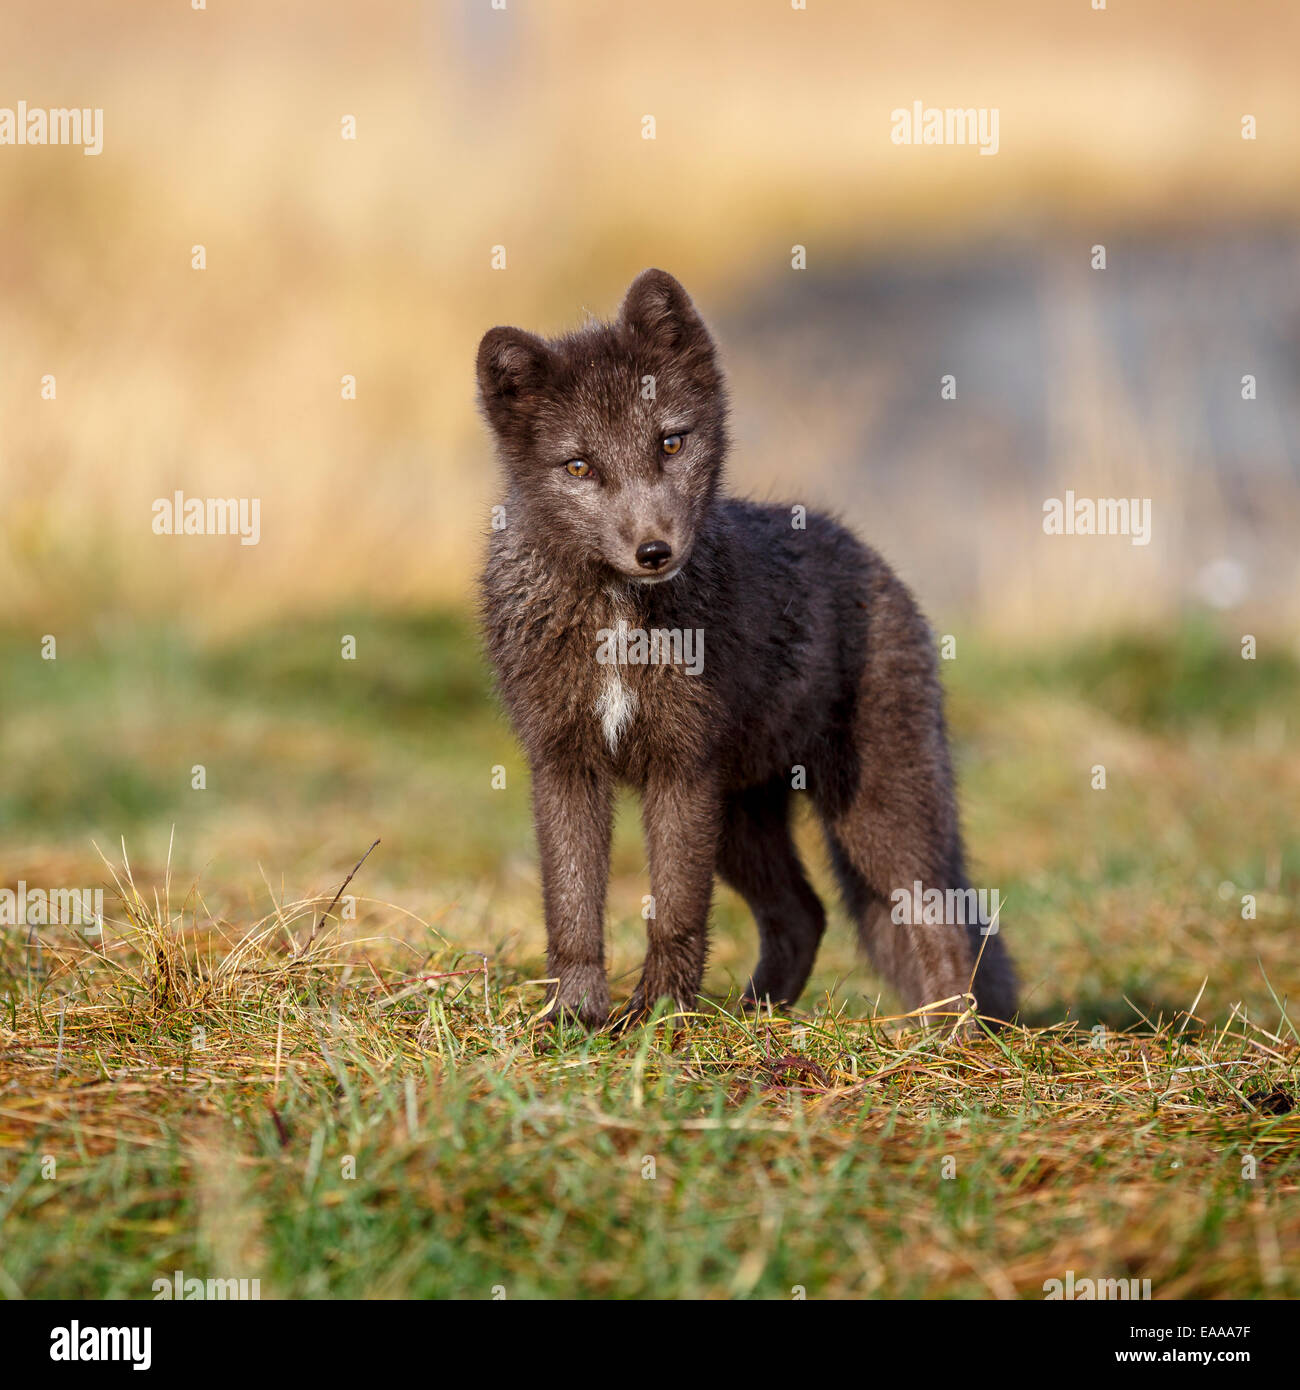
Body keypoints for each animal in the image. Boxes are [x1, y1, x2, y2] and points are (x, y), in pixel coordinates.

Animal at [477, 268, 1017, 1029]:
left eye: (671, 443)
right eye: (579, 467)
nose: (654, 551)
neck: (619, 622)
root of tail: (870, 555)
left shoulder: (683, 769)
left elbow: (675, 914)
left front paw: (661, 1018)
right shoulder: (563, 762)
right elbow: (572, 909)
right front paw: (575, 1019)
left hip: (871, 811)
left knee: (938, 922)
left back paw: (939, 1039)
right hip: (742, 820)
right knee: (805, 914)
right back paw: (758, 1016)